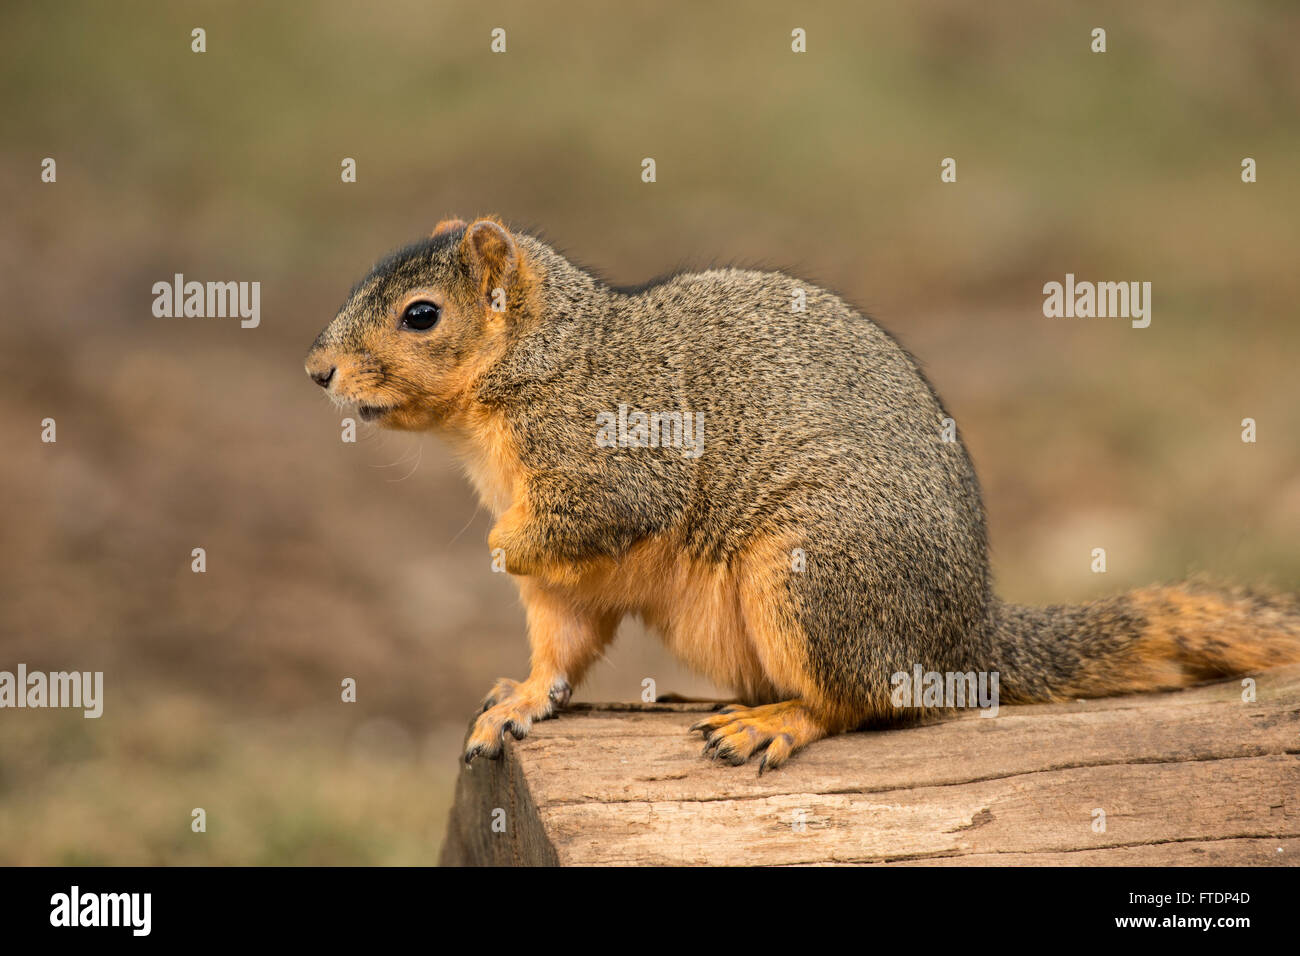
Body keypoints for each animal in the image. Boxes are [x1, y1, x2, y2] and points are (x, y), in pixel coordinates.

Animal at [306, 216, 1300, 772]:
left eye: (422, 315)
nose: (317, 372)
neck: (536, 366)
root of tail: (966, 637)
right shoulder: (565, 590)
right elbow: (560, 652)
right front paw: (516, 700)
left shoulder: (616, 453)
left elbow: (606, 511)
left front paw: (494, 545)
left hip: (812, 574)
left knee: (861, 703)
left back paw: (772, 723)